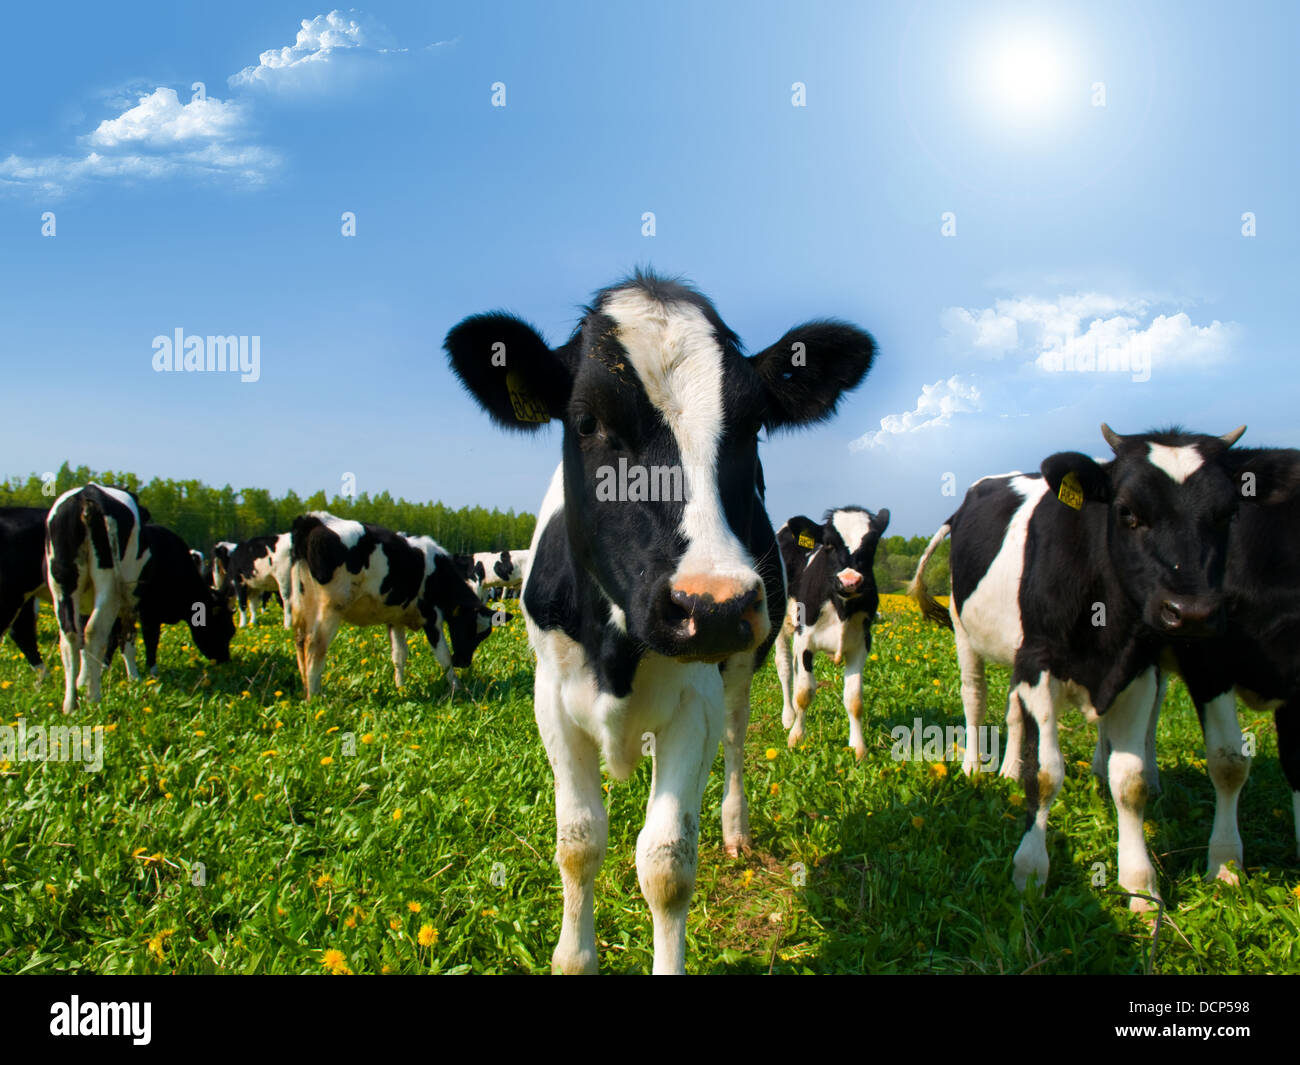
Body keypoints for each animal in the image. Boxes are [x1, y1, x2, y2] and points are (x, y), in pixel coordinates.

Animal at [45, 484, 151, 713]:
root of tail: (87, 494)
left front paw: (81, 681)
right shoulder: (131, 599)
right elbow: (127, 639)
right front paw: (134, 679)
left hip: (62, 582)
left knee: (71, 637)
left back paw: (71, 703)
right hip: (111, 586)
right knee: (95, 632)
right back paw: (94, 698)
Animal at [290, 511, 503, 701]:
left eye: (483, 636)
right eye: (468, 627)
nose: (464, 662)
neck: (440, 573)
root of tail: (314, 519)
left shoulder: (395, 618)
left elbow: (399, 655)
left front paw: (400, 688)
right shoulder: (431, 616)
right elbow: (443, 656)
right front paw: (458, 689)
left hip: (303, 606)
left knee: (300, 642)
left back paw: (306, 689)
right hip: (331, 607)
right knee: (314, 645)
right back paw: (316, 697)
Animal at [444, 270, 876, 974]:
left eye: (754, 426)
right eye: (586, 421)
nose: (714, 605)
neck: (617, 652)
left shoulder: (695, 701)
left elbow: (666, 862)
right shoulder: (551, 700)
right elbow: (578, 841)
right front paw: (574, 955)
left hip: (738, 672)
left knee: (734, 741)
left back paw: (734, 826)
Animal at [774, 507, 889, 760]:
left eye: (872, 543)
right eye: (828, 544)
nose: (850, 581)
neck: (842, 608)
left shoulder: (861, 644)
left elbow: (854, 699)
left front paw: (858, 748)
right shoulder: (806, 641)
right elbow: (805, 693)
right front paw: (796, 737)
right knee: (785, 668)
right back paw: (788, 717)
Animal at [909, 425, 1251, 912]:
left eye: (1227, 514)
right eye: (1126, 512)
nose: (1192, 613)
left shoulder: (1137, 672)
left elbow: (1131, 781)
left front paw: (1141, 888)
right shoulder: (1039, 665)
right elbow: (1046, 773)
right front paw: (1030, 871)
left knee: (1013, 712)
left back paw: (1008, 770)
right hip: (964, 629)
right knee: (974, 697)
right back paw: (975, 767)